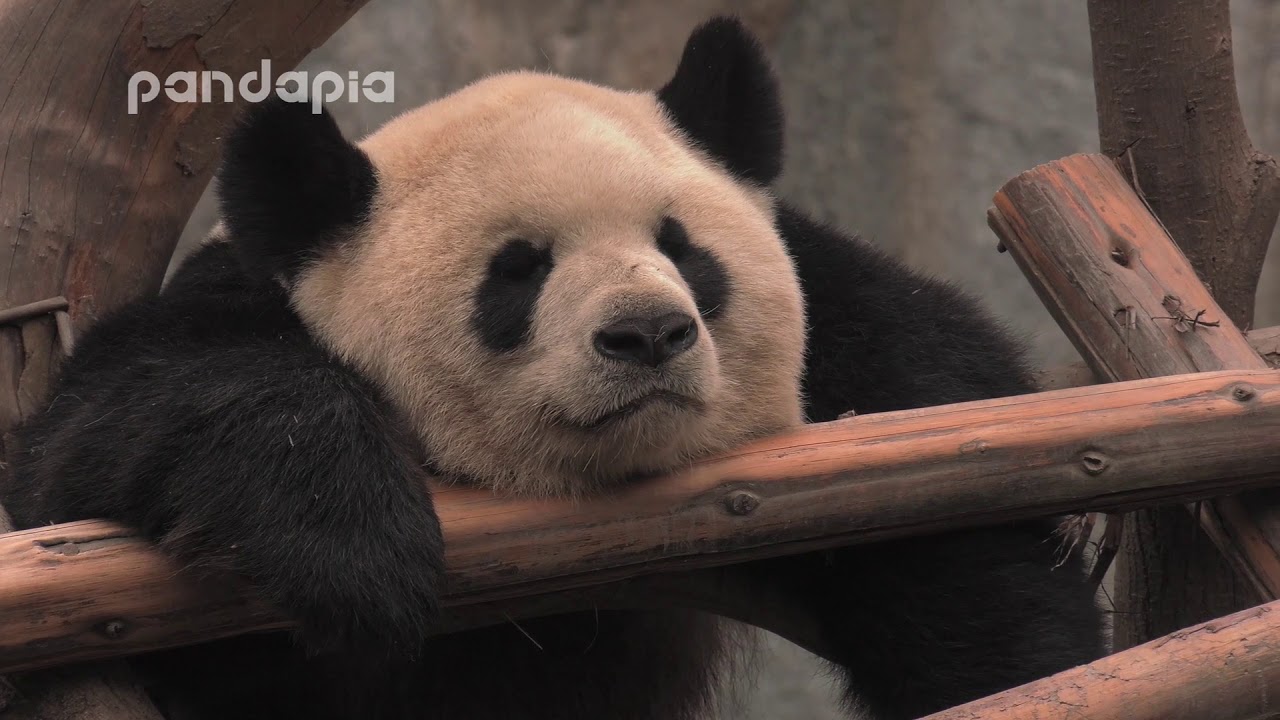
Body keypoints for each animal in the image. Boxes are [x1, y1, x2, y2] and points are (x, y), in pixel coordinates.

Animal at [2, 16, 1102, 720]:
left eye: (682, 250)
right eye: (519, 269)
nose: (647, 335)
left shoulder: (855, 339)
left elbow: (956, 501)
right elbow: (106, 428)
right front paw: (351, 551)